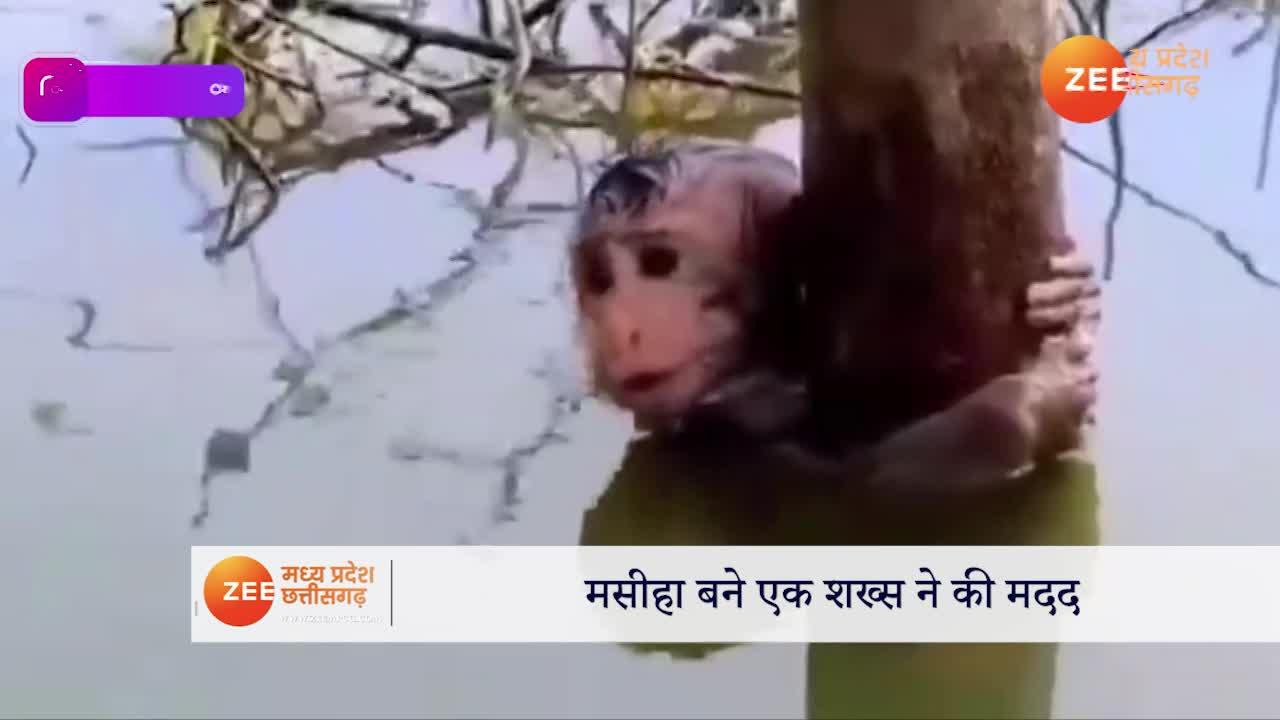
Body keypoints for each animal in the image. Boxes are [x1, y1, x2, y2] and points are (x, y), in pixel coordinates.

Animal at [570, 140, 1101, 494]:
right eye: (601, 278)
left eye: (659, 262)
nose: (620, 327)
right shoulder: (732, 414)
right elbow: (856, 486)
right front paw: (1036, 395)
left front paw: (1075, 297)